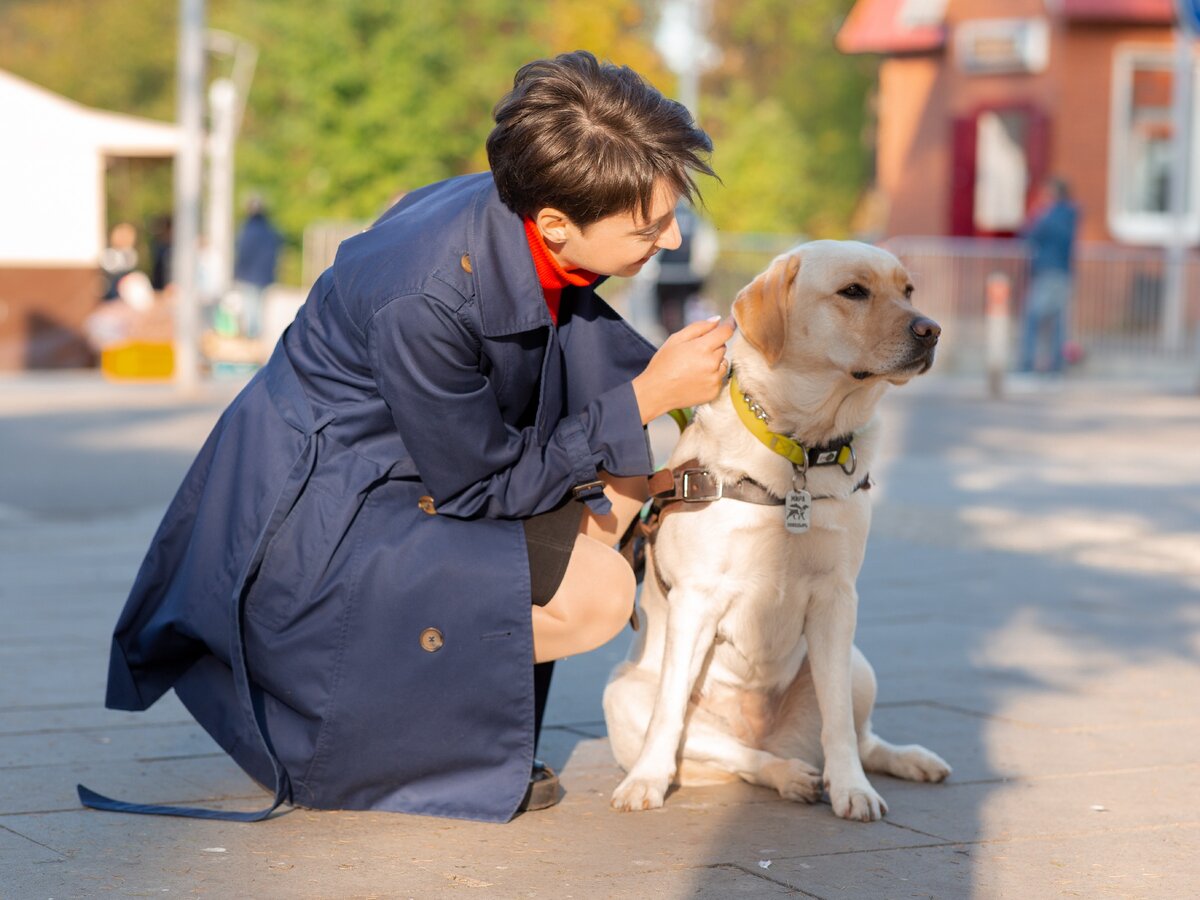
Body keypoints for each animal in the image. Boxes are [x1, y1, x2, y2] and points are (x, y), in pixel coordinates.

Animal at [604, 243, 950, 820]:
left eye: (908, 291)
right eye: (853, 291)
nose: (932, 330)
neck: (800, 450)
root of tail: (766, 733)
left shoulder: (837, 598)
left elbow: (838, 723)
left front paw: (852, 789)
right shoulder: (695, 599)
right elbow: (669, 711)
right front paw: (646, 781)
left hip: (859, 665)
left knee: (859, 736)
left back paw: (904, 760)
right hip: (624, 693)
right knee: (736, 753)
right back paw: (787, 775)